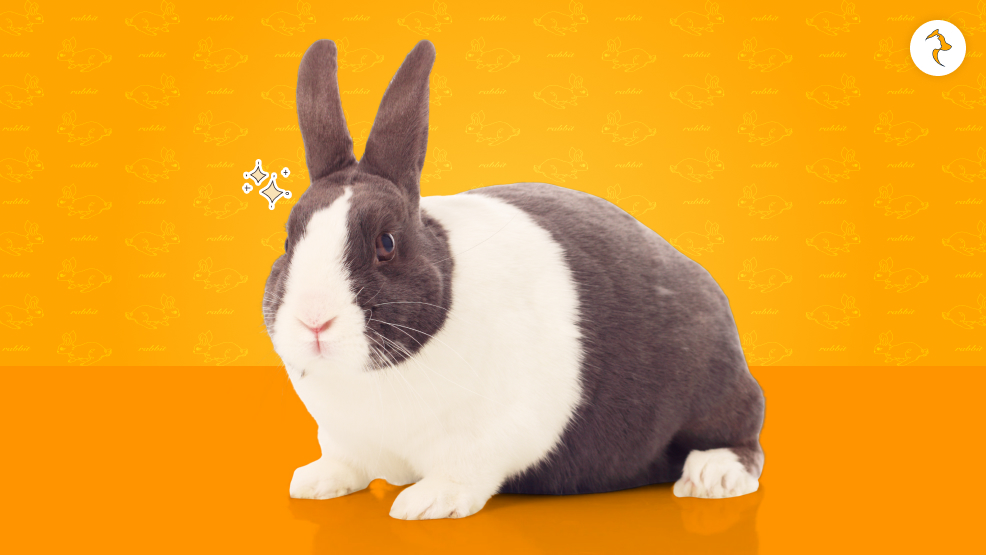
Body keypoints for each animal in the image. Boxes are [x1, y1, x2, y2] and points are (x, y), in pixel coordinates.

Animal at [263, 39, 766, 520]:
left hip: (714, 390)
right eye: (289, 240)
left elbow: (462, 472)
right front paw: (312, 483)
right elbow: (345, 463)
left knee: (745, 433)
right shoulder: (344, 437)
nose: (314, 321)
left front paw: (424, 504)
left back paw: (712, 476)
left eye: (385, 243)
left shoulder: (489, 432)